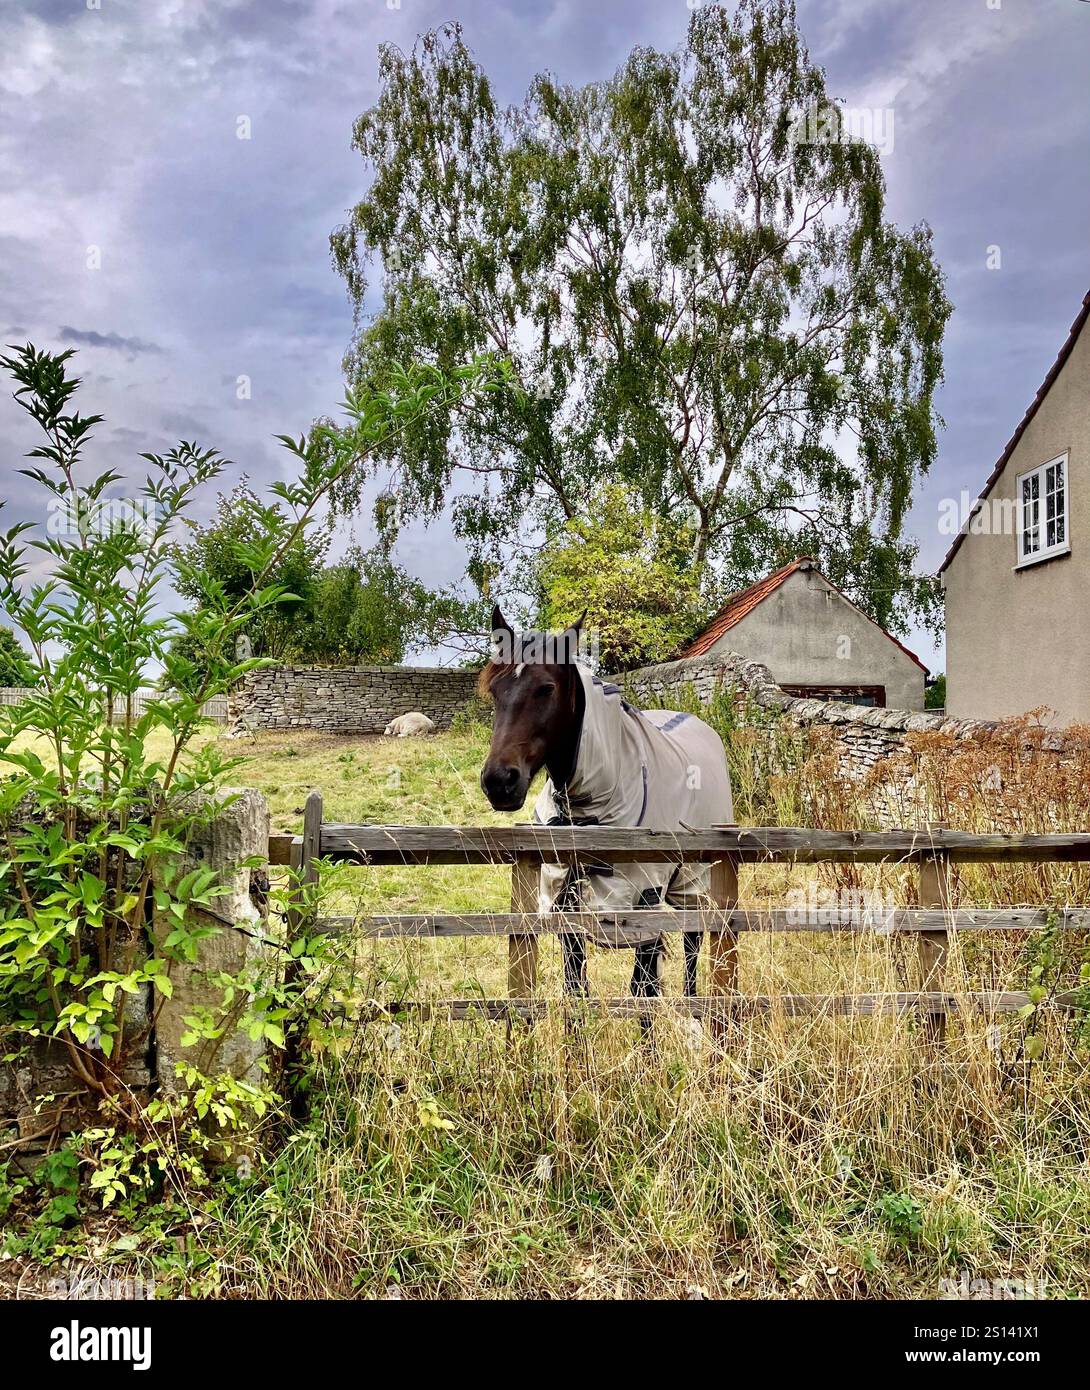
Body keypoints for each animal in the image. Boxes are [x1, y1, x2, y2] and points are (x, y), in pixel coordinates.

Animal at [479, 606, 734, 1001]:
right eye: (495, 691)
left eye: (546, 688)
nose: (499, 782)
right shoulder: (566, 907)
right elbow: (575, 987)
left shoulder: (645, 905)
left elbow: (643, 989)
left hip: (695, 878)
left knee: (692, 942)